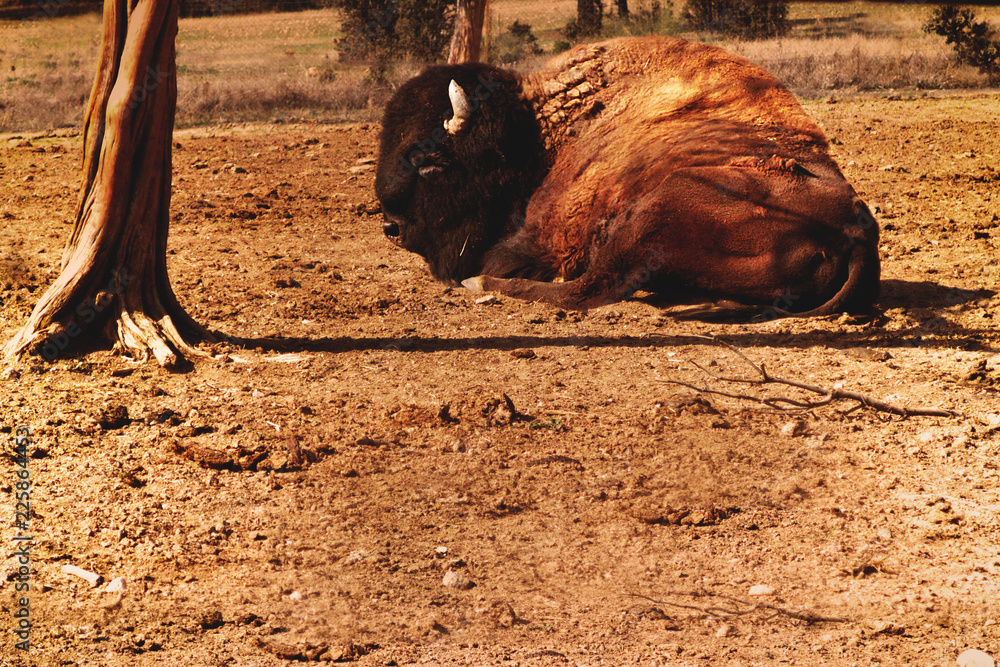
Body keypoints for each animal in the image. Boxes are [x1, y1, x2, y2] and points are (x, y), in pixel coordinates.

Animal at [375, 36, 879, 316]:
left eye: (430, 161)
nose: (392, 228)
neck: (541, 128)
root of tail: (856, 233)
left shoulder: (549, 236)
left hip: (657, 209)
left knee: (585, 291)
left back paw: (479, 286)